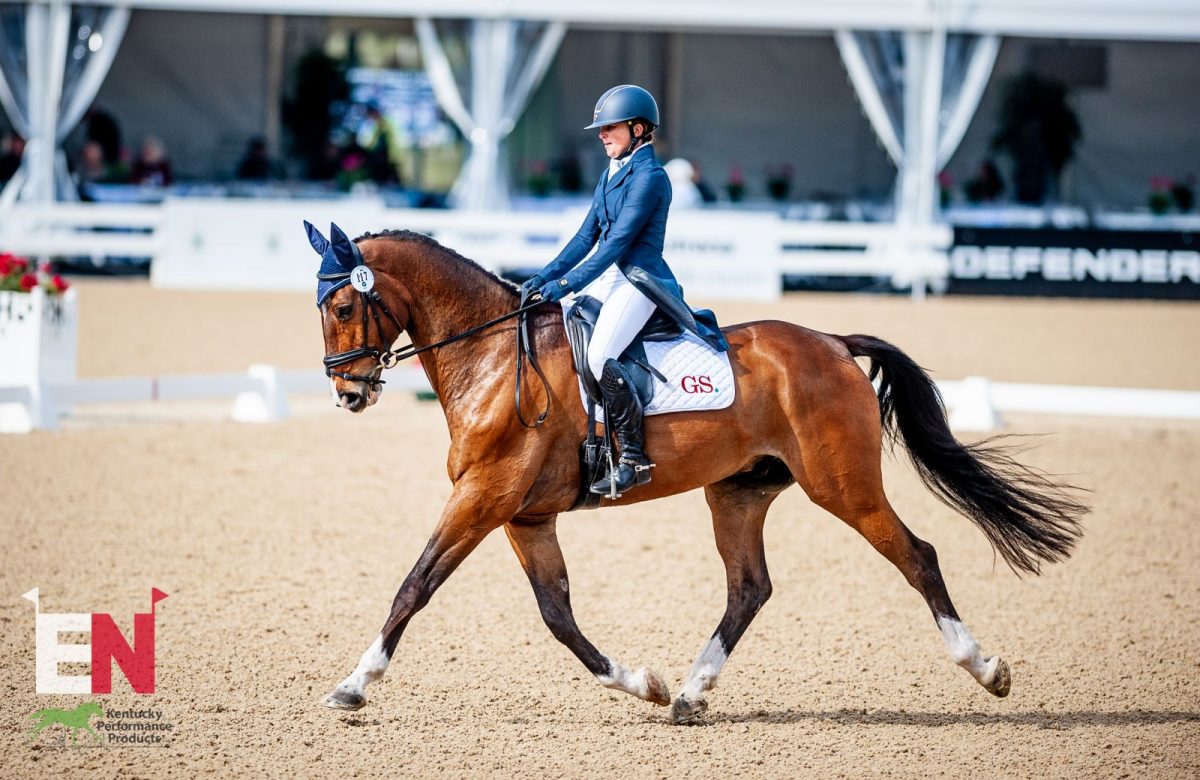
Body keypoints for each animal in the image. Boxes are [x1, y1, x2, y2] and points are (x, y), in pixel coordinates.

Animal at [314, 227, 1086, 724]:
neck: (497, 357)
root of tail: (834, 342)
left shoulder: (482, 498)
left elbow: (415, 586)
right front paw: (643, 684)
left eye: (345, 306)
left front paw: (354, 684)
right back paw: (688, 694)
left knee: (916, 556)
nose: (347, 394)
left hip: (843, 487)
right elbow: (558, 615)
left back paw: (987, 670)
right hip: (739, 491)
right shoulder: (524, 515)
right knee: (749, 588)